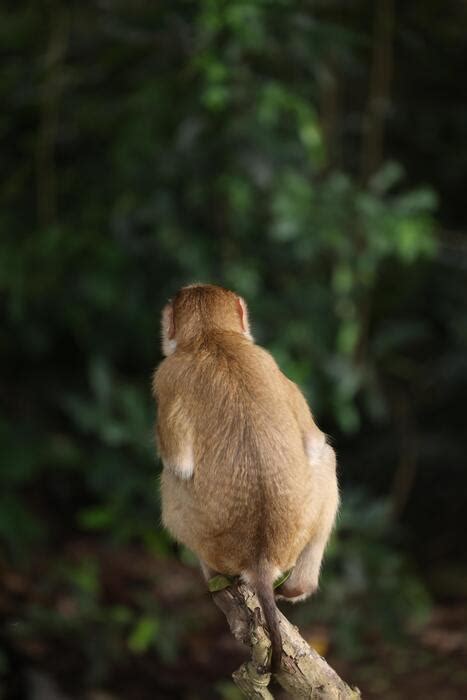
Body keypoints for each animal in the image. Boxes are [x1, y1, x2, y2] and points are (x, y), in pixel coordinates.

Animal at [152, 284, 339, 672]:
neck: (212, 338)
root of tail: (261, 561)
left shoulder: (166, 376)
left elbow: (178, 466)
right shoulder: (268, 360)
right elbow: (313, 443)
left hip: (205, 535)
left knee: (172, 482)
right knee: (325, 459)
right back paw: (298, 587)